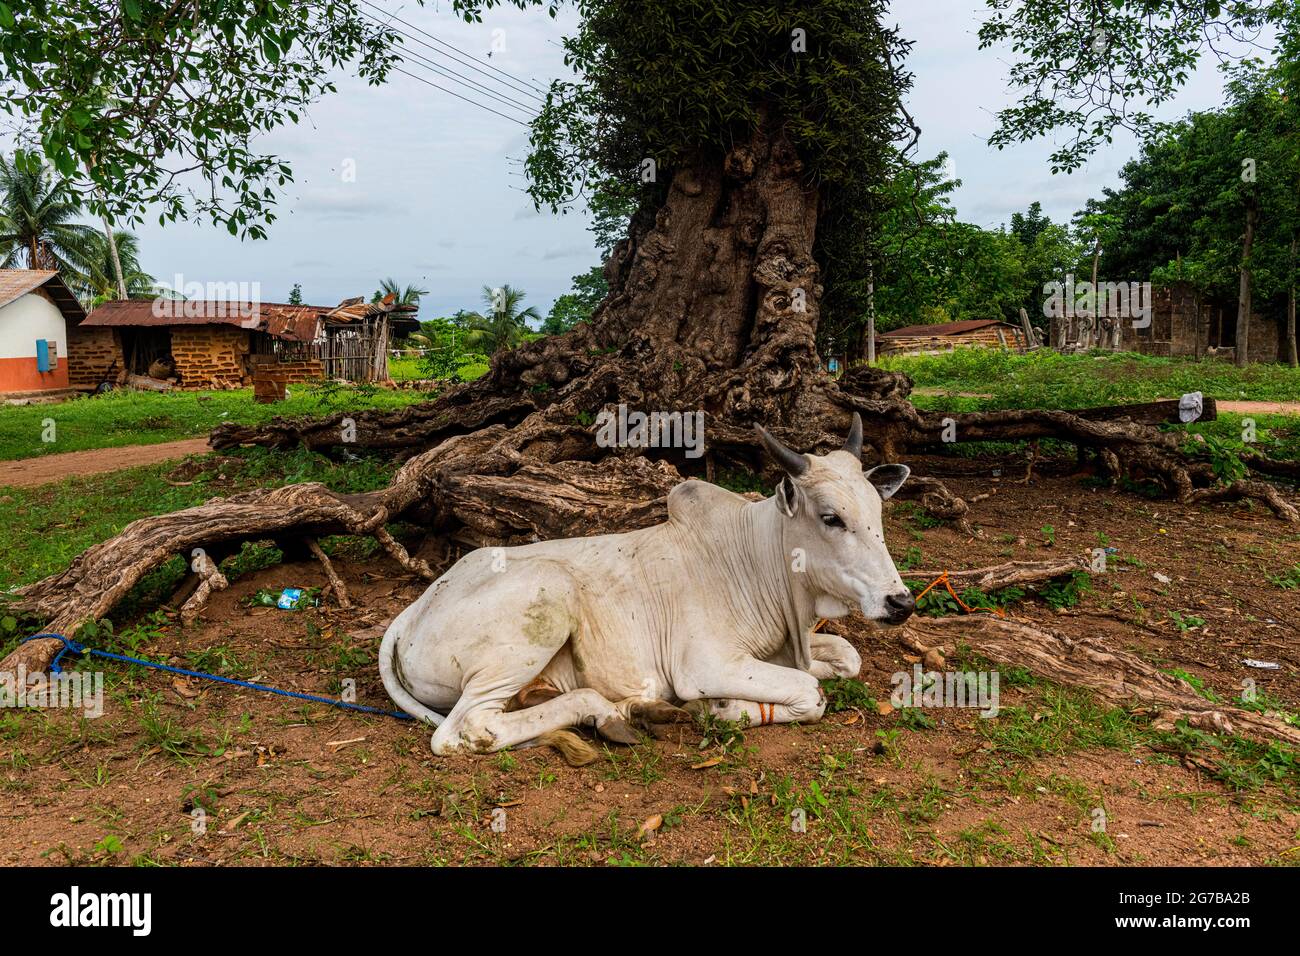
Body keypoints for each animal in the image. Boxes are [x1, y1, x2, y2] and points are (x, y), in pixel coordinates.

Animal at [379, 413, 914, 764]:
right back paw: (614, 712)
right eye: (831, 518)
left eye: (878, 510)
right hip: (544, 603)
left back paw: (628, 710)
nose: (901, 602)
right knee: (466, 730)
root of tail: (411, 614)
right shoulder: (706, 665)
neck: (759, 560)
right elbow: (810, 693)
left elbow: (847, 657)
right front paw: (721, 708)